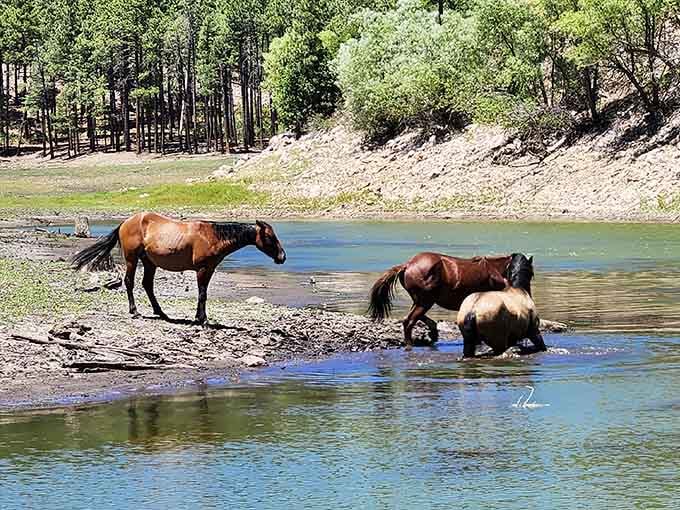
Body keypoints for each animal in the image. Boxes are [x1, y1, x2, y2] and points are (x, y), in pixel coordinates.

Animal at [72, 212, 286, 324]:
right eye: (269, 237)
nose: (282, 257)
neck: (212, 236)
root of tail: (126, 222)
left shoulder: (209, 269)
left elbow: (203, 293)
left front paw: (200, 317)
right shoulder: (202, 270)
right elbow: (202, 294)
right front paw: (202, 319)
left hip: (149, 262)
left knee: (147, 285)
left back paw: (161, 312)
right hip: (132, 259)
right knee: (130, 282)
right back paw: (135, 311)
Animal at [368, 252, 514, 349]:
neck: (495, 270)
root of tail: (408, 265)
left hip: (421, 300)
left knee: (413, 317)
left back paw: (433, 334)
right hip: (425, 301)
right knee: (409, 321)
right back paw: (410, 344)